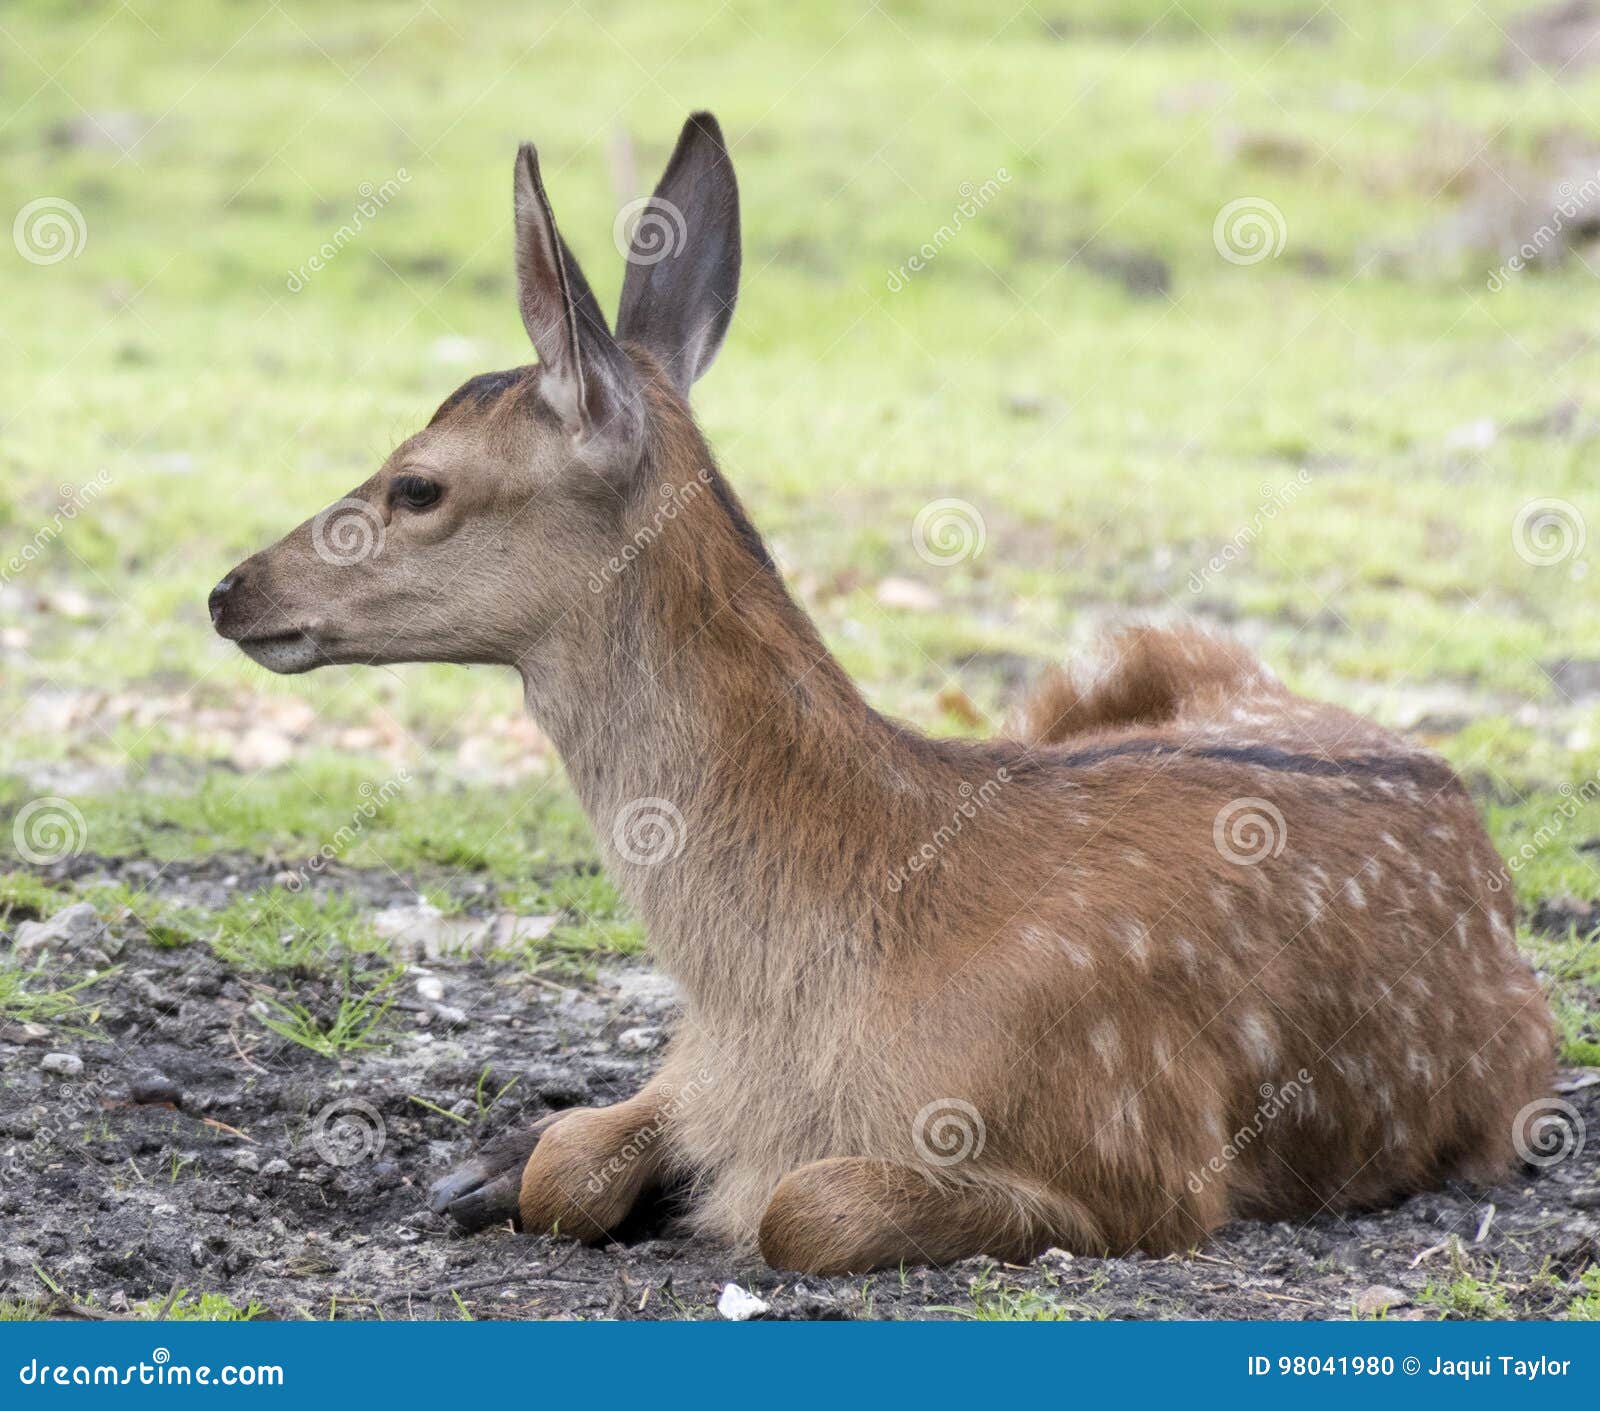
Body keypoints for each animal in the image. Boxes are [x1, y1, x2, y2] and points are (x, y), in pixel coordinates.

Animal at [210, 112, 1556, 1275]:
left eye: (418, 484)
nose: (230, 588)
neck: (796, 988)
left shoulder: (1140, 1158)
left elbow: (799, 1208)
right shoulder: (702, 1066)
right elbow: (575, 1165)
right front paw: (503, 1165)